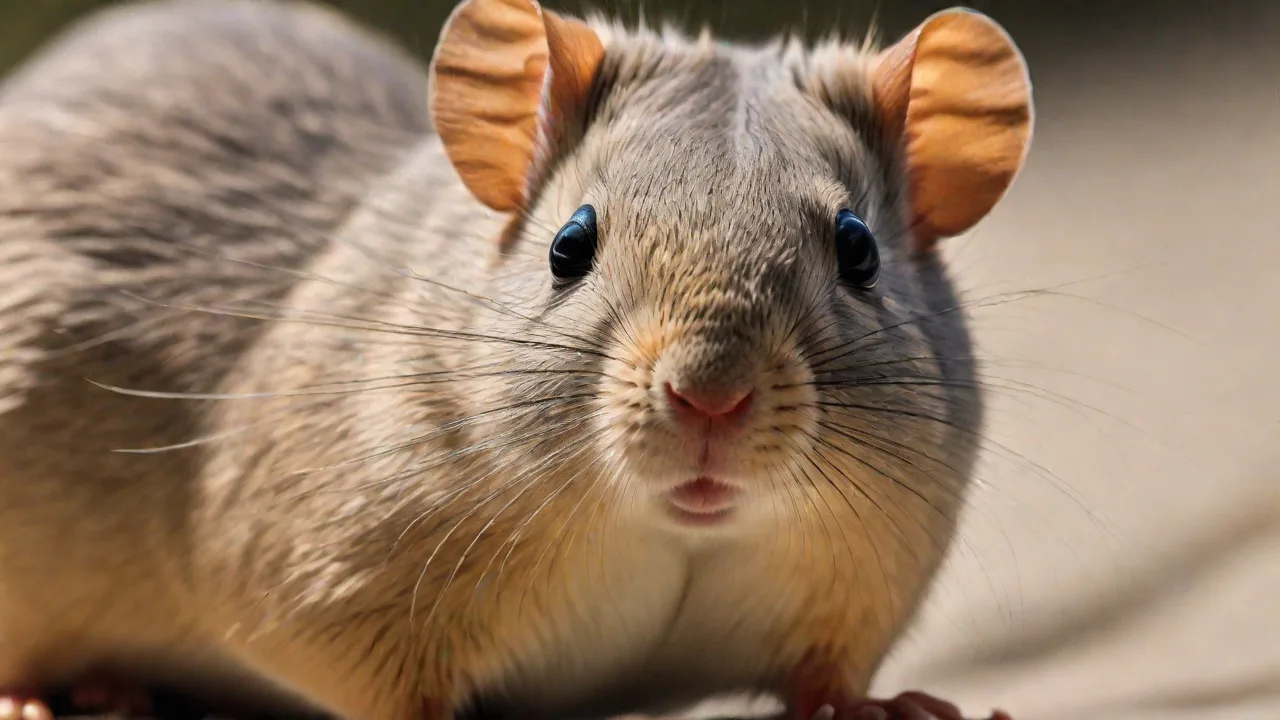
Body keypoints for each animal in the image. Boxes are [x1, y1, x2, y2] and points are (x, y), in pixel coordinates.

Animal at [0, 1, 1033, 719]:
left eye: (858, 250)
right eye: (569, 245)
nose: (710, 397)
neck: (670, 533)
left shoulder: (860, 584)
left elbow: (828, 675)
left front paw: (886, 706)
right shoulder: (310, 549)